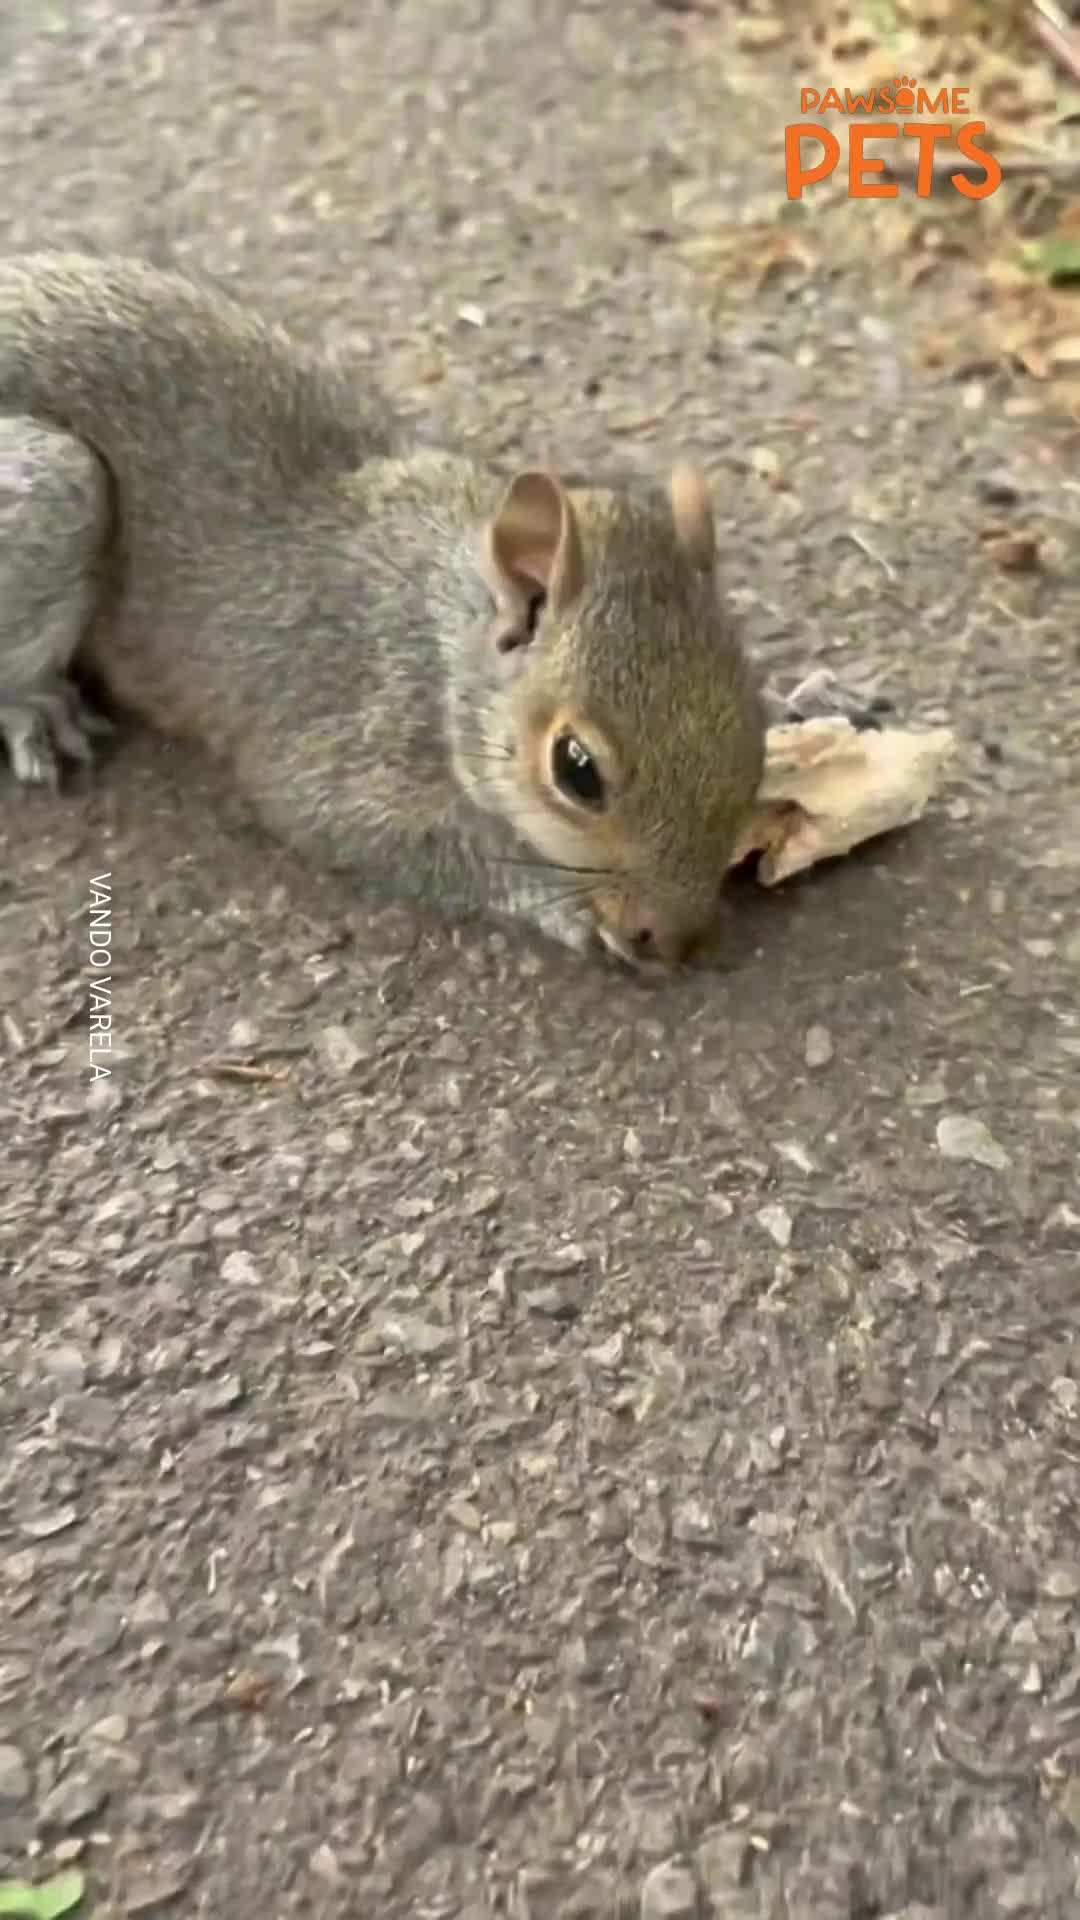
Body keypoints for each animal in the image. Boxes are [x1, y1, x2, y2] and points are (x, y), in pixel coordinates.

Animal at [0, 252, 774, 969]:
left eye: (755, 725)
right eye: (576, 770)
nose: (672, 941)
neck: (442, 632)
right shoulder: (346, 734)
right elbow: (382, 831)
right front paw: (567, 906)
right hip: (55, 491)